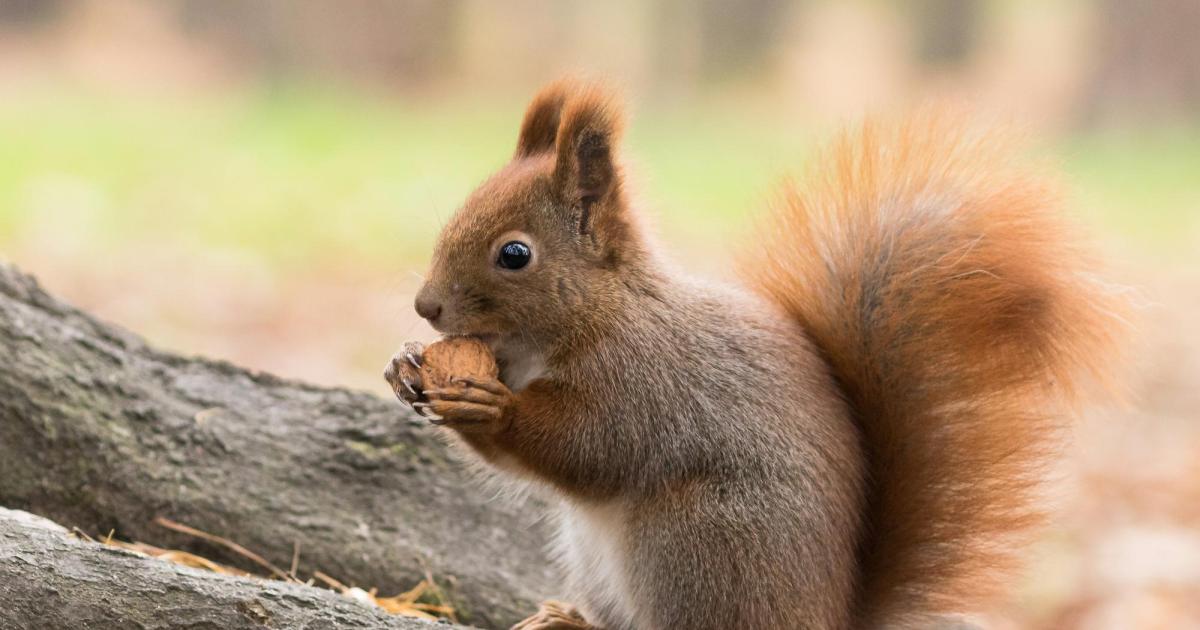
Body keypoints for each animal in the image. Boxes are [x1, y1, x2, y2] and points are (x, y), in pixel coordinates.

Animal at [384, 80, 1125, 630]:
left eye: (515, 254)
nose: (425, 307)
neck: (597, 315)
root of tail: (823, 621)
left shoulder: (644, 381)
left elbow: (591, 446)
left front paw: (491, 408)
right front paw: (404, 369)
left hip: (695, 544)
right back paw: (570, 621)